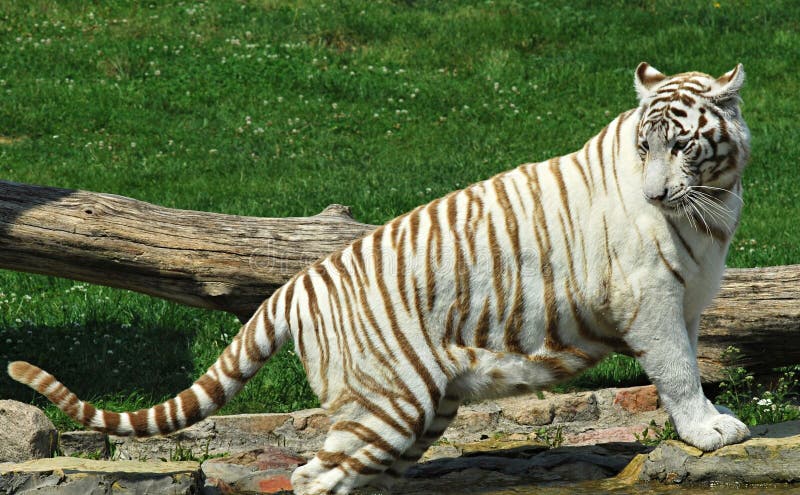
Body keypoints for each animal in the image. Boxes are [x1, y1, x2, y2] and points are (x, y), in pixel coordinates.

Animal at [9, 62, 751, 495]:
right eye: (644, 146)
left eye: (681, 145)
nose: (656, 194)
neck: (714, 200)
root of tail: (293, 286)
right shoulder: (650, 298)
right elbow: (679, 371)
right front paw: (710, 432)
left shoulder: (688, 298)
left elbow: (693, 361)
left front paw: (713, 423)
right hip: (388, 402)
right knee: (314, 477)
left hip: (417, 406)